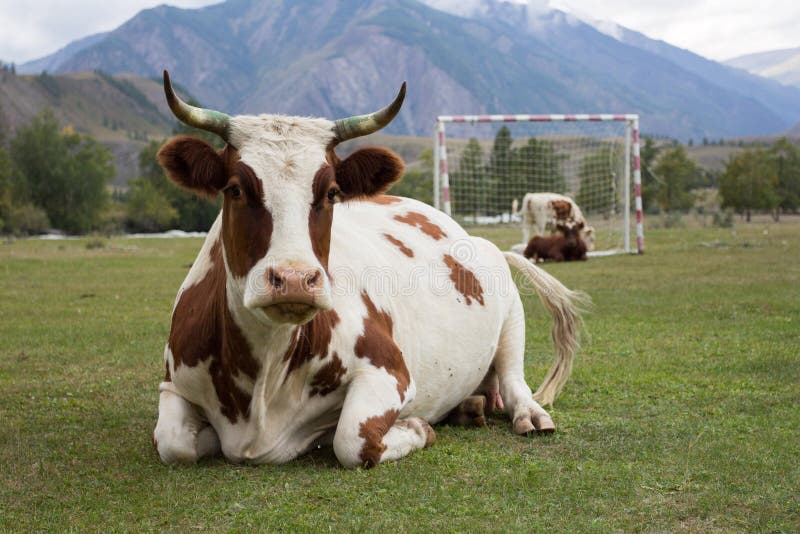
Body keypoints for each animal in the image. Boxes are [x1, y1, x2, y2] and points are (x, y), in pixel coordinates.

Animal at [152, 71, 587, 468]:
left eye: (331, 193)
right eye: (235, 189)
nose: (294, 280)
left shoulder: (389, 373)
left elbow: (351, 440)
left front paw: (415, 427)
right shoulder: (173, 384)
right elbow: (174, 442)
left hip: (511, 314)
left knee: (514, 382)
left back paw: (527, 414)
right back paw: (468, 407)